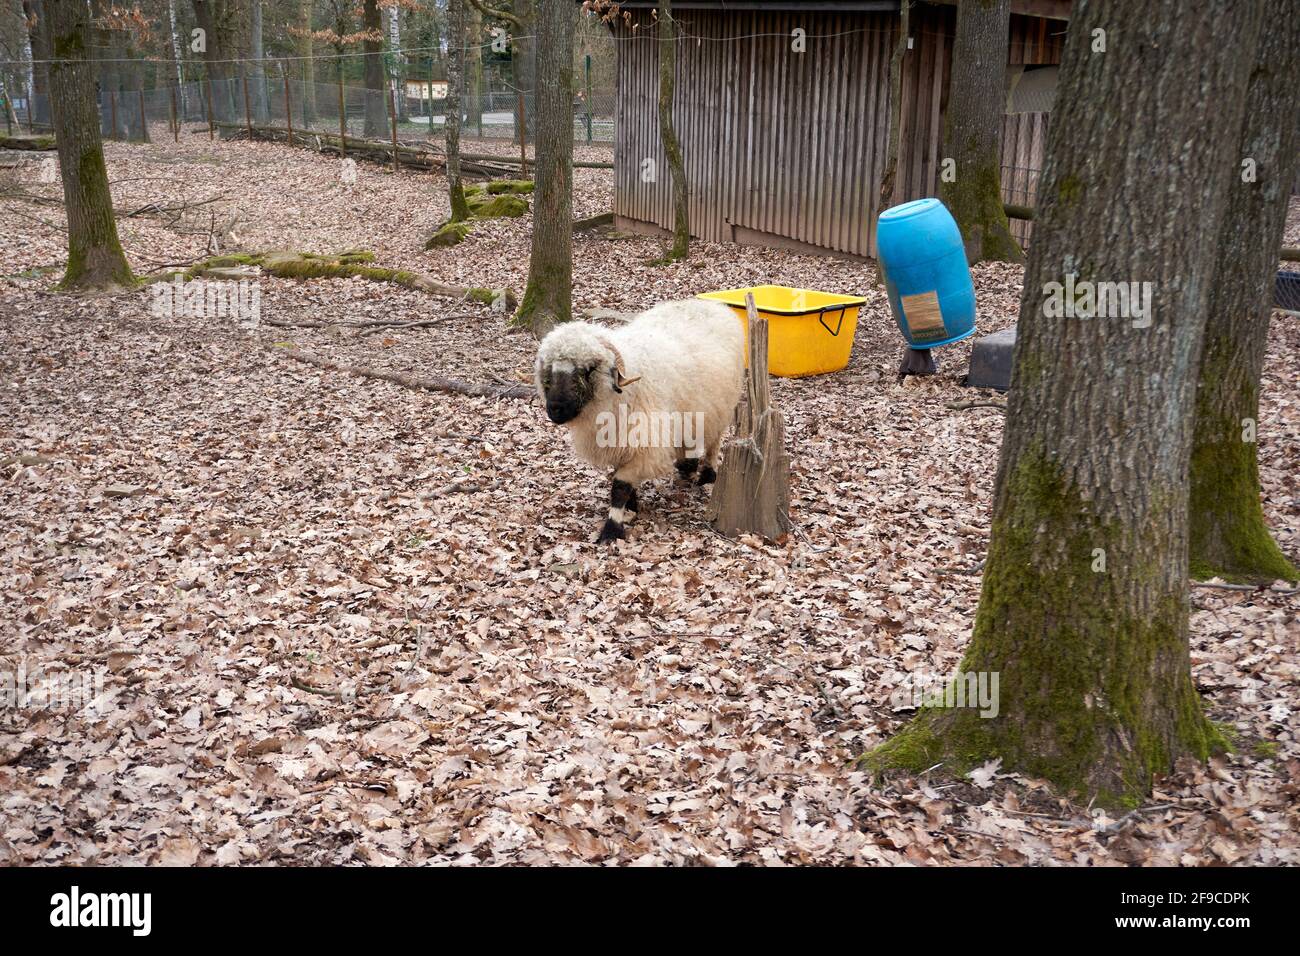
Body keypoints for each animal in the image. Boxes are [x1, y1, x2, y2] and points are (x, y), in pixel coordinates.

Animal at [535, 299, 745, 543]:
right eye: (549, 369)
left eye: (588, 369)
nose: (555, 409)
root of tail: (713, 304)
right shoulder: (618, 441)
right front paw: (632, 507)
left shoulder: (645, 445)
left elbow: (620, 486)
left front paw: (612, 529)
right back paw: (686, 467)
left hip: (721, 406)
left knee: (714, 442)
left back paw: (708, 475)